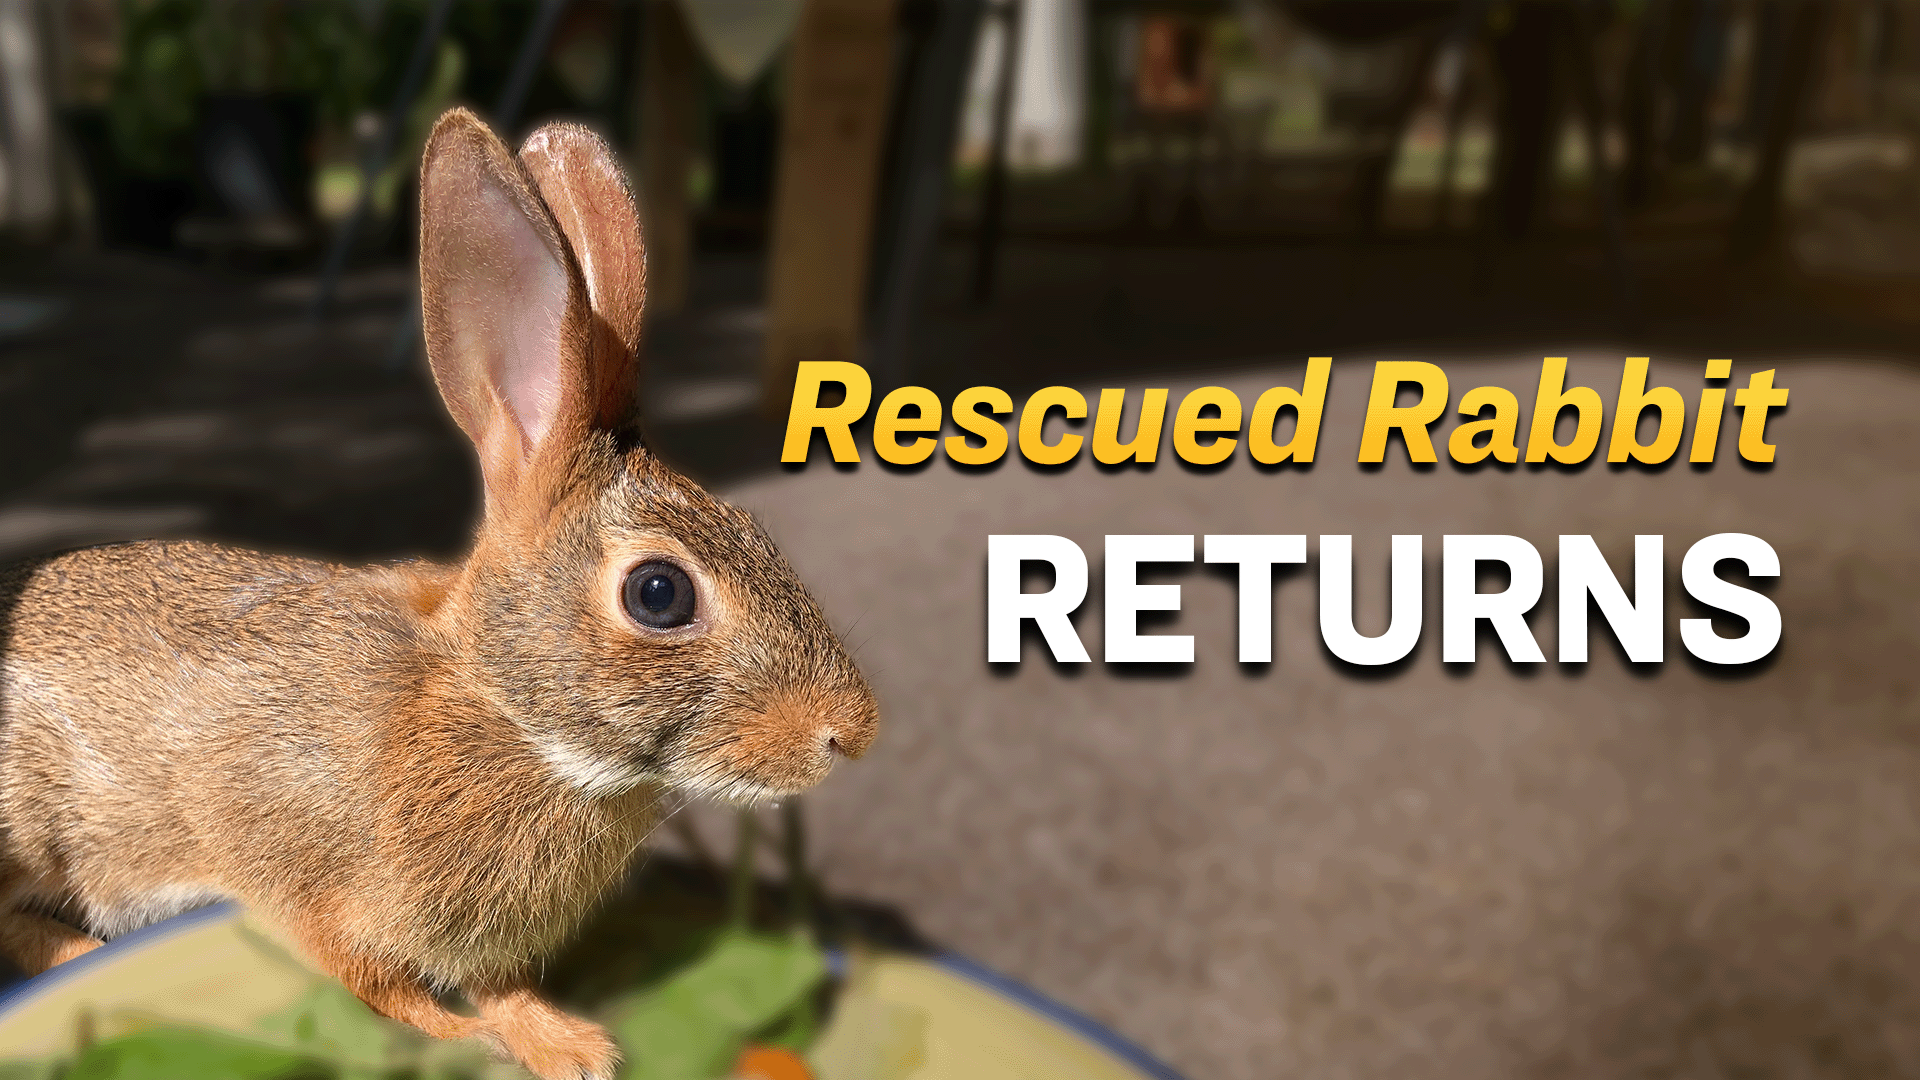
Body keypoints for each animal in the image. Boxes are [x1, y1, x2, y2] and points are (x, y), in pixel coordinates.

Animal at [0, 107, 878, 1080]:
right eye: (659, 593)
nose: (849, 733)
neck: (506, 712)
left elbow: (496, 985)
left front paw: (568, 1043)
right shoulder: (314, 887)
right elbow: (382, 986)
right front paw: (470, 1041)